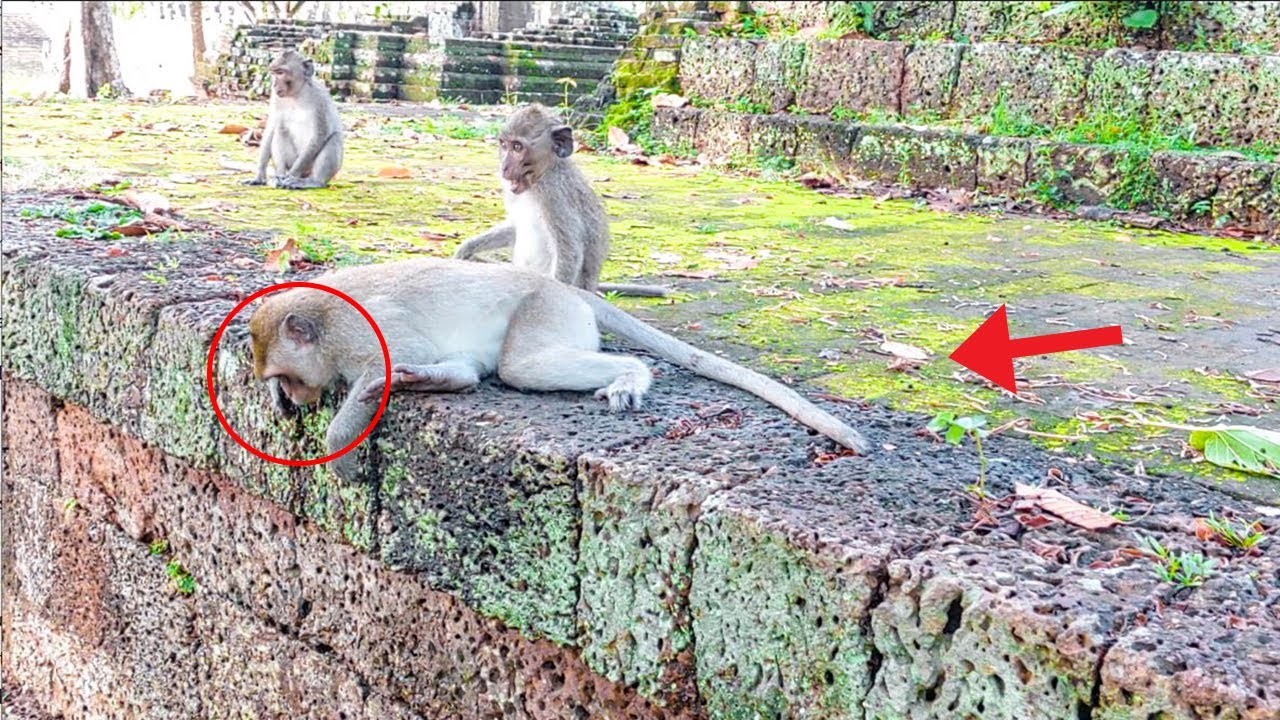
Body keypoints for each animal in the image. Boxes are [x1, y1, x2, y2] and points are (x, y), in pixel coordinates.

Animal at [243, 49, 343, 190]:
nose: (274, 84)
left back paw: (313, 181)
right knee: (280, 129)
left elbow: (320, 134)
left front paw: (291, 176)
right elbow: (271, 128)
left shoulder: (320, 99)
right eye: (273, 73)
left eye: (281, 72)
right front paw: (259, 177)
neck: (297, 93)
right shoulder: (275, 98)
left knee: (334, 138)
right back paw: (279, 176)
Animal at [248, 258, 869, 480]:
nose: (295, 398)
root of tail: (563, 288)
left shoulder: (361, 336)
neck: (325, 323)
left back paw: (630, 375)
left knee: (523, 366)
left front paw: (341, 444)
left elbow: (387, 369)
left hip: (547, 313)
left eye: (290, 375)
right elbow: (455, 370)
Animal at [452, 104, 669, 298]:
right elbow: (514, 227)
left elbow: (569, 252)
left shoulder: (554, 195)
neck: (544, 174)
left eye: (517, 147)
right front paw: (467, 248)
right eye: (504, 145)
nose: (504, 167)